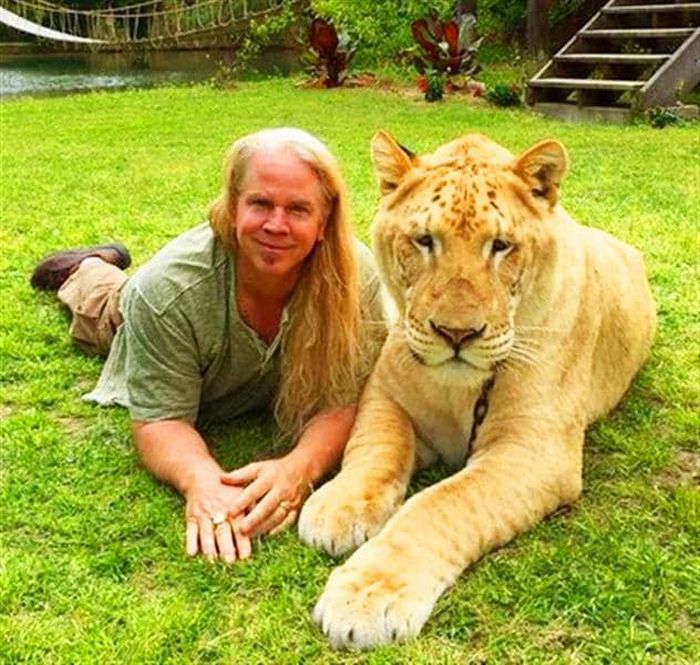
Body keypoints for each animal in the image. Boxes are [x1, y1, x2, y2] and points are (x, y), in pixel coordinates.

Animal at [298, 130, 657, 650]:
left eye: (500, 246)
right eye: (424, 240)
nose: (456, 334)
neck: (460, 391)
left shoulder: (535, 452)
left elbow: (443, 505)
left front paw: (368, 594)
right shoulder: (384, 396)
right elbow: (374, 449)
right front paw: (339, 507)